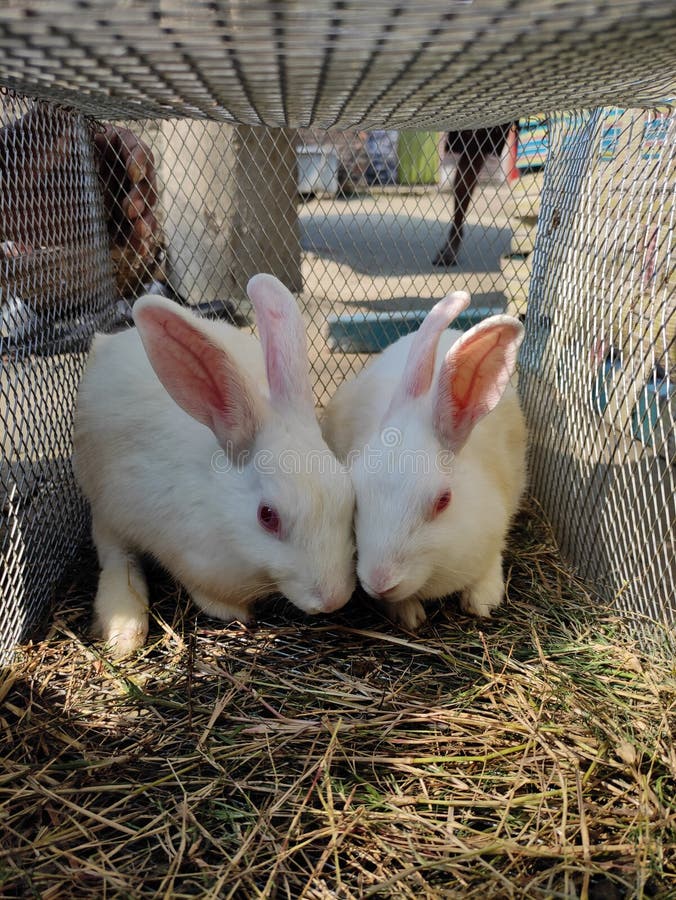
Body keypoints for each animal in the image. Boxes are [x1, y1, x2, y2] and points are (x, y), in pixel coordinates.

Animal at [73, 274, 356, 657]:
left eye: (348, 498)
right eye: (268, 516)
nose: (334, 599)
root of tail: (109, 342)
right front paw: (231, 611)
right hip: (102, 498)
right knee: (114, 552)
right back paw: (124, 631)